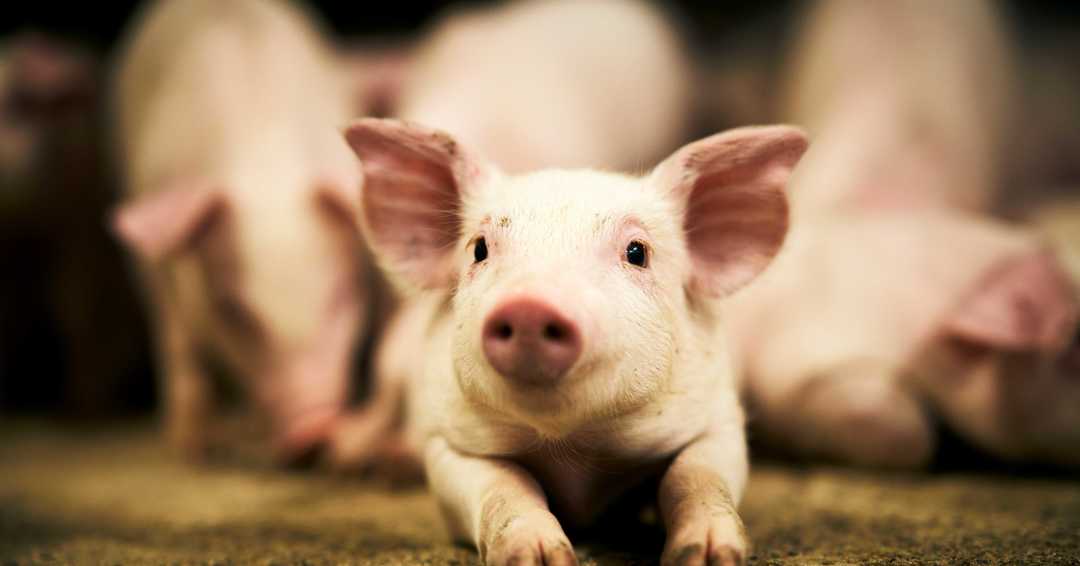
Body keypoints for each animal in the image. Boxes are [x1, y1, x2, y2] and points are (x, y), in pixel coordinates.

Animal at [111, 0, 380, 463]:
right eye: (231, 309)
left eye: (342, 294)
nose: (313, 425)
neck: (266, 173)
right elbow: (178, 341)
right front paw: (192, 451)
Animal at [342, 117, 807, 565]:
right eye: (479, 249)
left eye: (637, 252)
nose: (529, 305)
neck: (575, 457)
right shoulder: (448, 443)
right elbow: (504, 485)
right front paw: (538, 556)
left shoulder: (720, 422)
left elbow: (697, 477)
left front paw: (709, 555)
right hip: (392, 360)